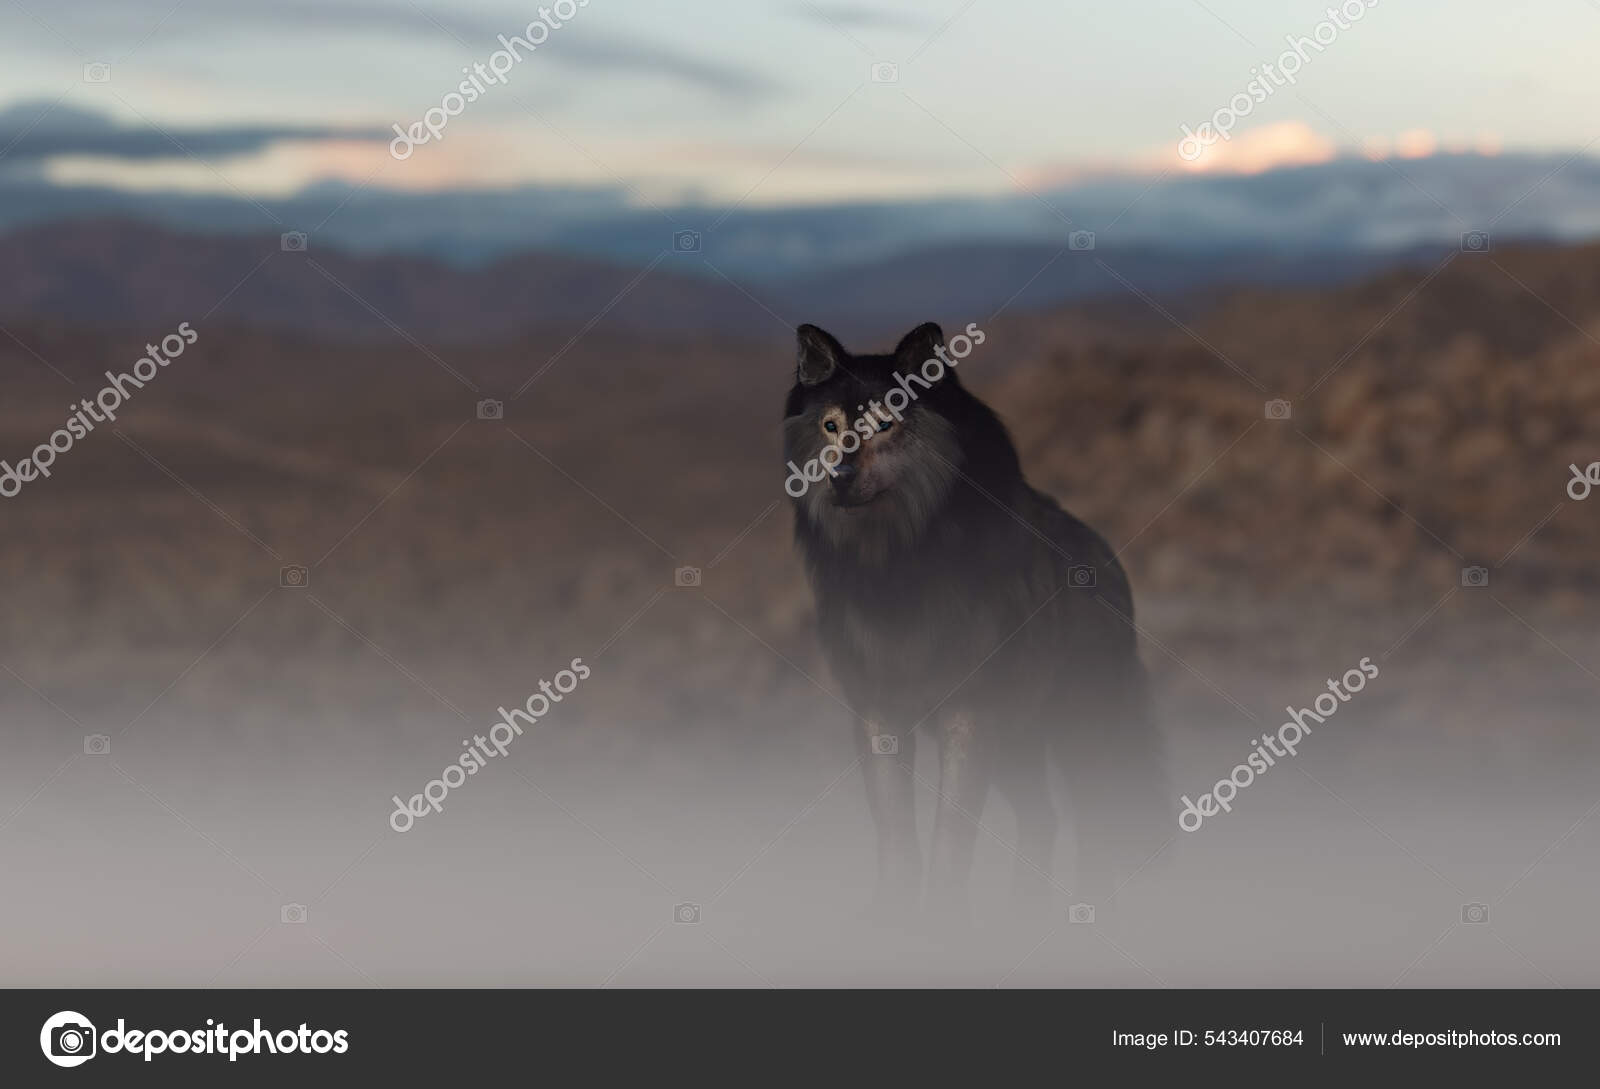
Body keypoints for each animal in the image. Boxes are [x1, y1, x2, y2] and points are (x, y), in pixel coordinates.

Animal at [782, 322, 1168, 917]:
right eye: (832, 426)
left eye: (886, 423)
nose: (839, 475)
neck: (895, 569)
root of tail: (1106, 558)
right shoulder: (877, 710)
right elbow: (895, 828)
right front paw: (892, 918)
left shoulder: (969, 710)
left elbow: (952, 833)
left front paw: (941, 922)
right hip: (1020, 742)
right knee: (1045, 818)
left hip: (1080, 729)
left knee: (1099, 818)